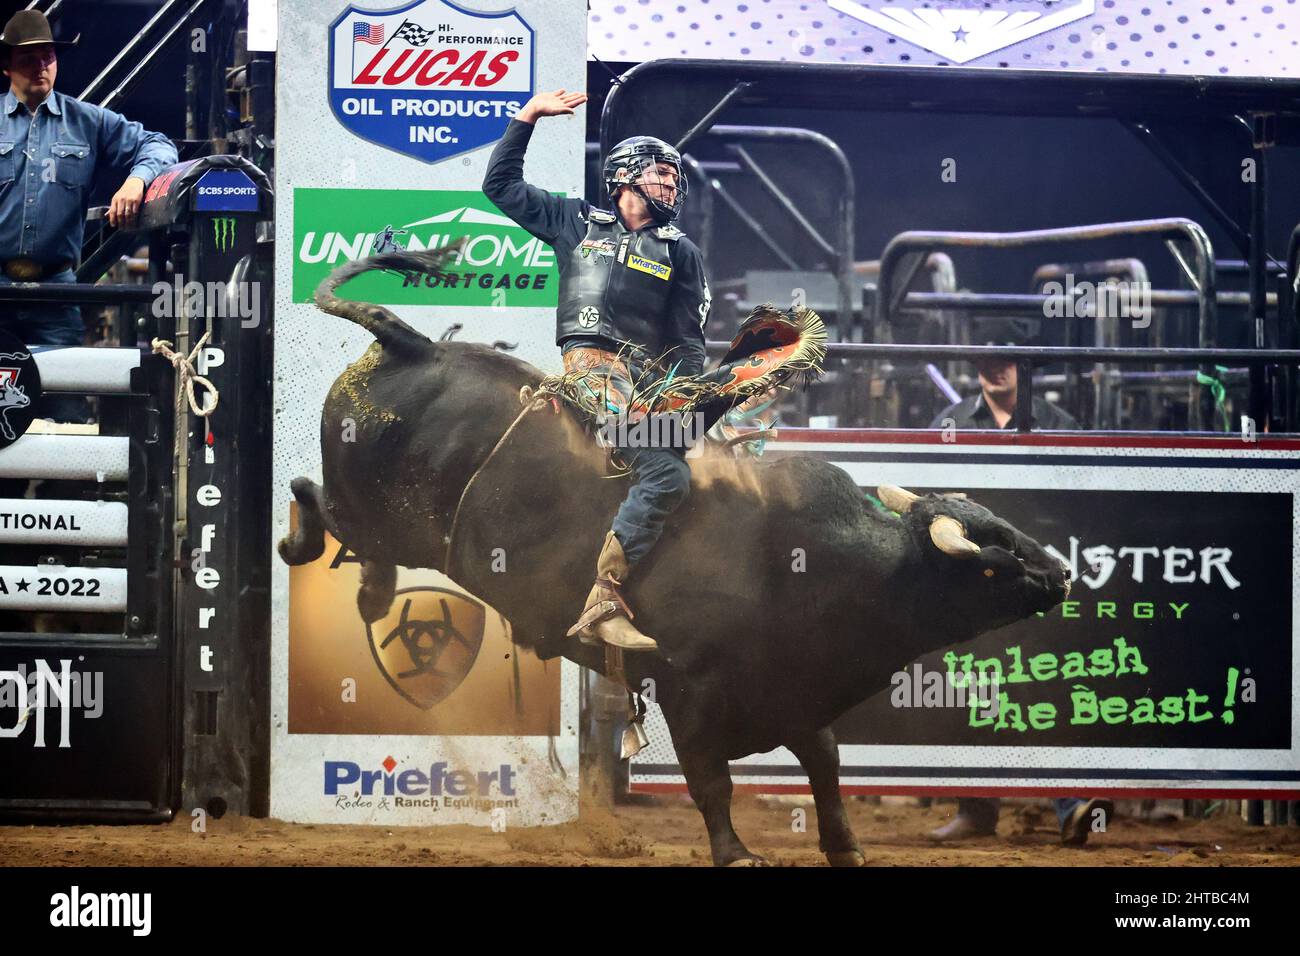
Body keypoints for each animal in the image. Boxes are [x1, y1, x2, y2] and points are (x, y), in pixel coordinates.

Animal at [279, 249, 1071, 865]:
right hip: (379, 514)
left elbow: (825, 767)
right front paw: (737, 852)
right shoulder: (691, 688)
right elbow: (710, 779)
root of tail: (415, 342)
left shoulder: (796, 691)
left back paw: (371, 590)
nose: (1060, 572)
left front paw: (844, 846)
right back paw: (324, 558)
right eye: (992, 561)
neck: (817, 563)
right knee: (314, 497)